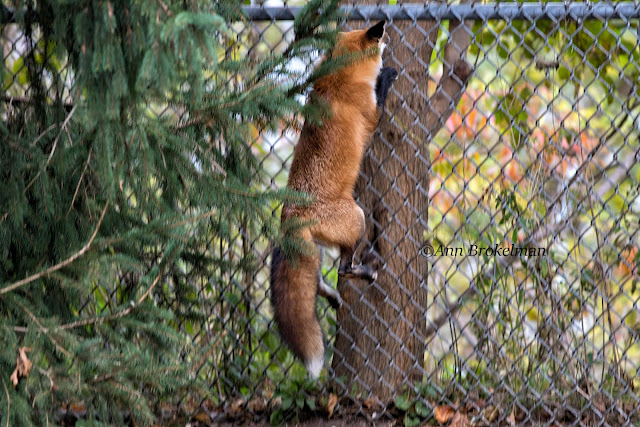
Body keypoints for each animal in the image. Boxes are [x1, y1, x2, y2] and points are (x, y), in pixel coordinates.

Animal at [270, 21, 398, 379]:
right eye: (380, 37)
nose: (388, 31)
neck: (339, 76)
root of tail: (290, 216)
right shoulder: (372, 114)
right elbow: (380, 97)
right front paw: (387, 75)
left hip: (315, 251)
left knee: (318, 283)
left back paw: (331, 296)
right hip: (357, 218)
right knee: (345, 269)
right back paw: (366, 273)